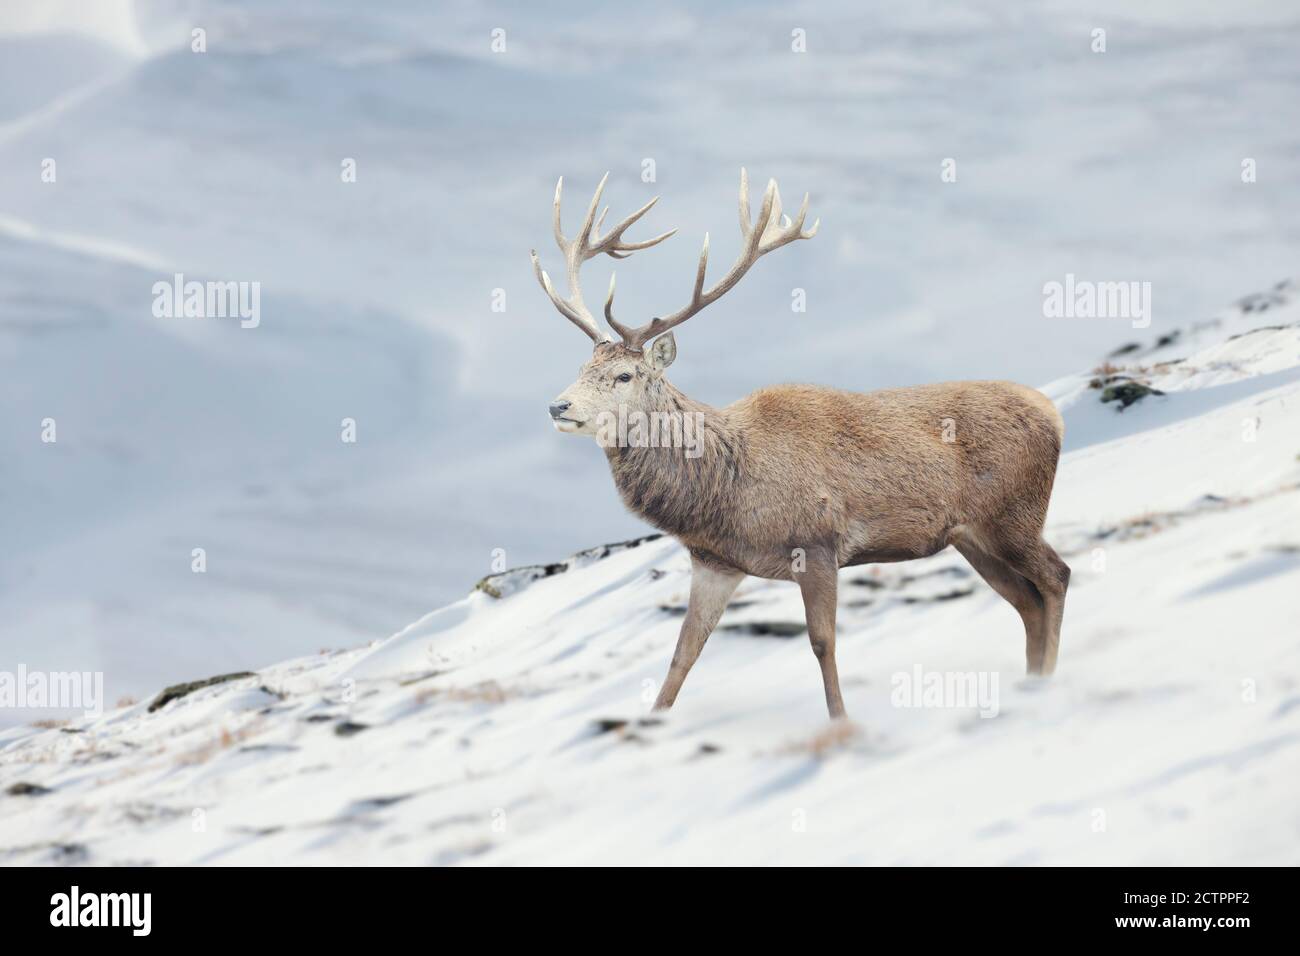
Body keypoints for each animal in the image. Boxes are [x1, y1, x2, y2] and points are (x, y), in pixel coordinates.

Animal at [532, 170, 1070, 721]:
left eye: (624, 375)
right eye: (581, 368)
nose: (558, 406)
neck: (726, 495)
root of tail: (1053, 413)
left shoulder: (817, 543)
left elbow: (822, 643)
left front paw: (840, 720)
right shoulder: (714, 563)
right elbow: (683, 655)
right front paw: (656, 719)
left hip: (1014, 513)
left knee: (1056, 577)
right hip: (972, 535)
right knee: (1027, 601)